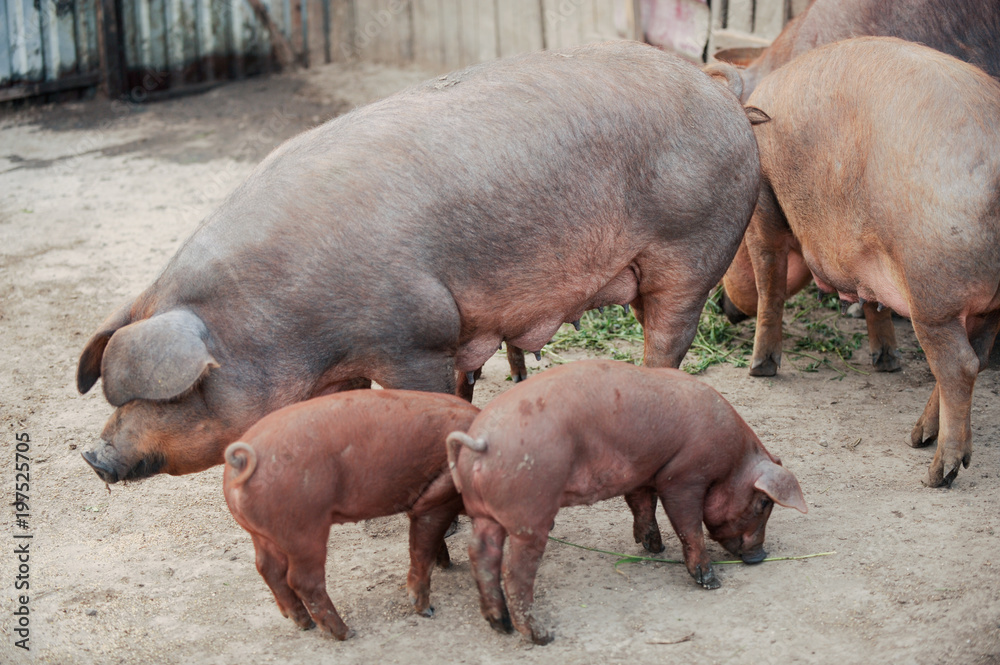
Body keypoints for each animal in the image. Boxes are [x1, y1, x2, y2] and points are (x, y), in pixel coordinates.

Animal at [77, 40, 763, 484]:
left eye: (163, 397)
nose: (94, 457)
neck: (278, 319)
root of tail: (716, 87)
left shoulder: (414, 336)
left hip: (694, 246)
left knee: (669, 338)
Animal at [222, 389, 478, 639]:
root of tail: (242, 460)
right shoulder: (436, 500)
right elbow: (422, 550)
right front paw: (427, 610)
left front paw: (446, 564)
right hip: (303, 530)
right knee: (302, 580)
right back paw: (345, 633)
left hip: (261, 533)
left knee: (267, 568)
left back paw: (303, 623)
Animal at [446, 359, 807, 644]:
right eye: (763, 504)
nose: (761, 556)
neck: (732, 462)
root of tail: (482, 440)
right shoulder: (684, 477)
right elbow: (688, 526)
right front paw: (711, 582)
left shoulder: (644, 473)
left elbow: (641, 504)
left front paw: (654, 547)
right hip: (530, 512)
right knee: (514, 571)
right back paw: (542, 636)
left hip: (484, 514)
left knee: (481, 554)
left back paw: (500, 624)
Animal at [739, 37, 1000, 487]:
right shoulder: (871, 259)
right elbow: (874, 303)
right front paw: (885, 361)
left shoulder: (764, 208)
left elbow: (769, 288)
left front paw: (759, 370)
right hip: (986, 305)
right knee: (977, 360)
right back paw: (917, 438)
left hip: (933, 294)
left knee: (960, 366)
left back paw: (937, 474)